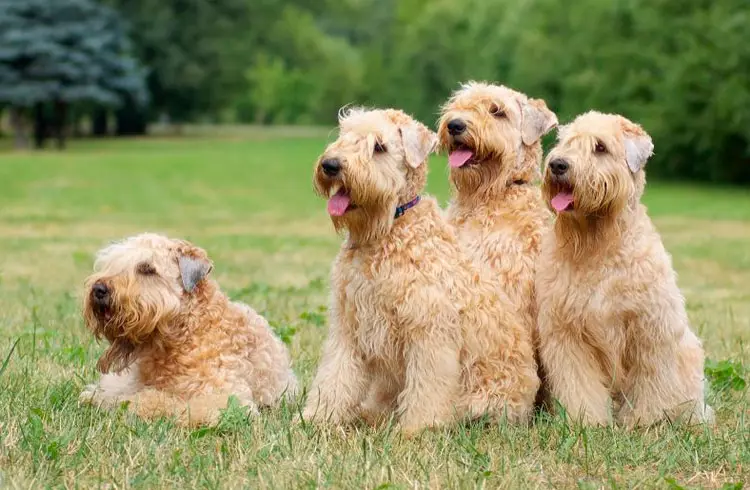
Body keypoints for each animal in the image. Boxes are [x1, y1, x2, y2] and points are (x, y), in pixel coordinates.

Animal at [302, 106, 544, 432]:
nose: (331, 165)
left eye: (379, 147)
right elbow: (334, 378)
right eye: (345, 136)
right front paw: (315, 419)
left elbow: (428, 387)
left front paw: (416, 429)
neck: (387, 231)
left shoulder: (429, 332)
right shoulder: (348, 325)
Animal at [536, 111, 712, 424]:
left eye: (600, 147)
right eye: (566, 142)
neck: (598, 245)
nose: (558, 165)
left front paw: (646, 422)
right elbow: (580, 385)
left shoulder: (650, 330)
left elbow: (652, 383)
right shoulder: (567, 334)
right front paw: (587, 422)